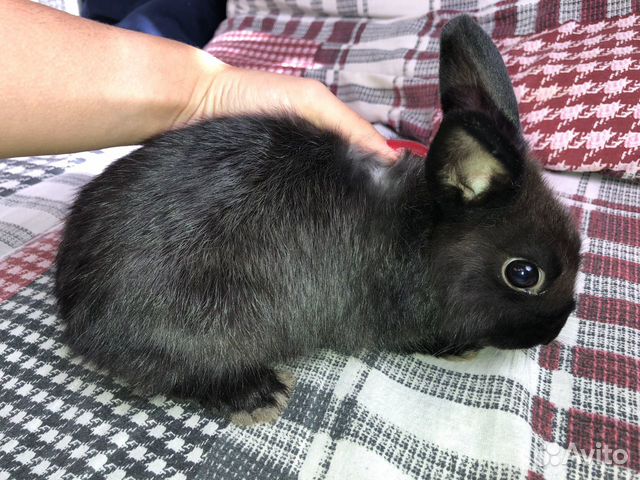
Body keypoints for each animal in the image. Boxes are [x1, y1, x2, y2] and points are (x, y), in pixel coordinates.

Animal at [55, 15, 581, 426]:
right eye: (523, 274)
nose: (552, 332)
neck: (419, 235)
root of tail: (75, 309)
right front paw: (458, 347)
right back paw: (259, 394)